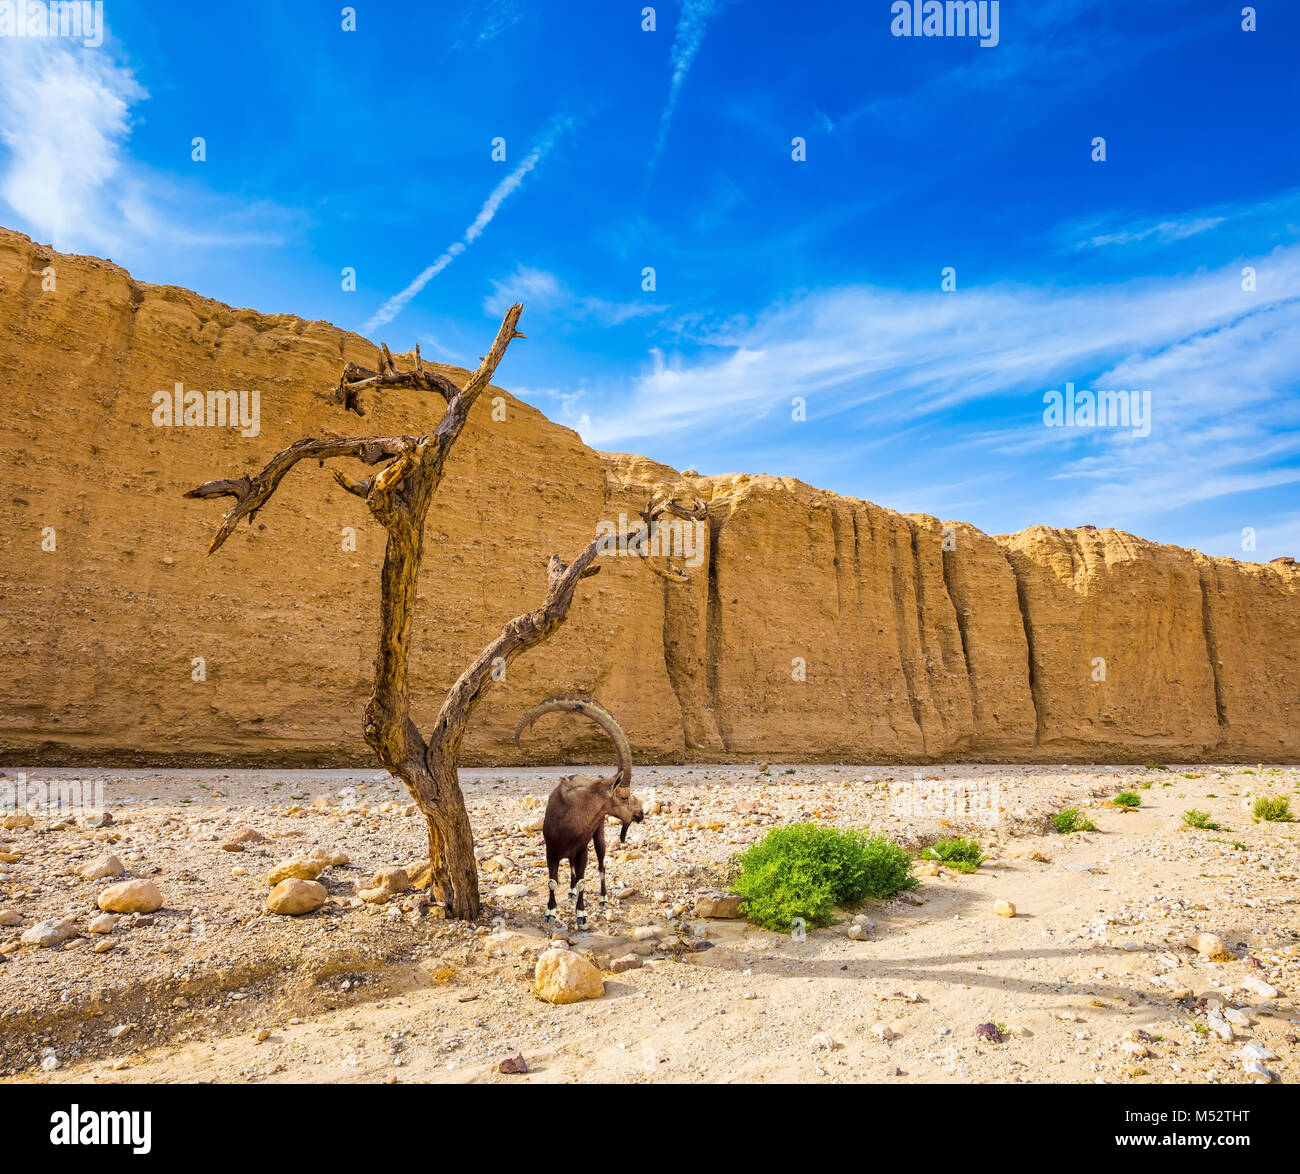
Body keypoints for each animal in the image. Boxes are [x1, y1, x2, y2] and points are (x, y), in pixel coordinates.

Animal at [514, 694, 644, 930]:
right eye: (623, 797)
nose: (641, 813)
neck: (570, 820)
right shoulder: (551, 851)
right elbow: (552, 881)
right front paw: (550, 912)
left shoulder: (582, 850)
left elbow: (584, 879)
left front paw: (581, 914)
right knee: (572, 869)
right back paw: (571, 891)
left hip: (598, 836)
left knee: (601, 864)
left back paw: (602, 898)